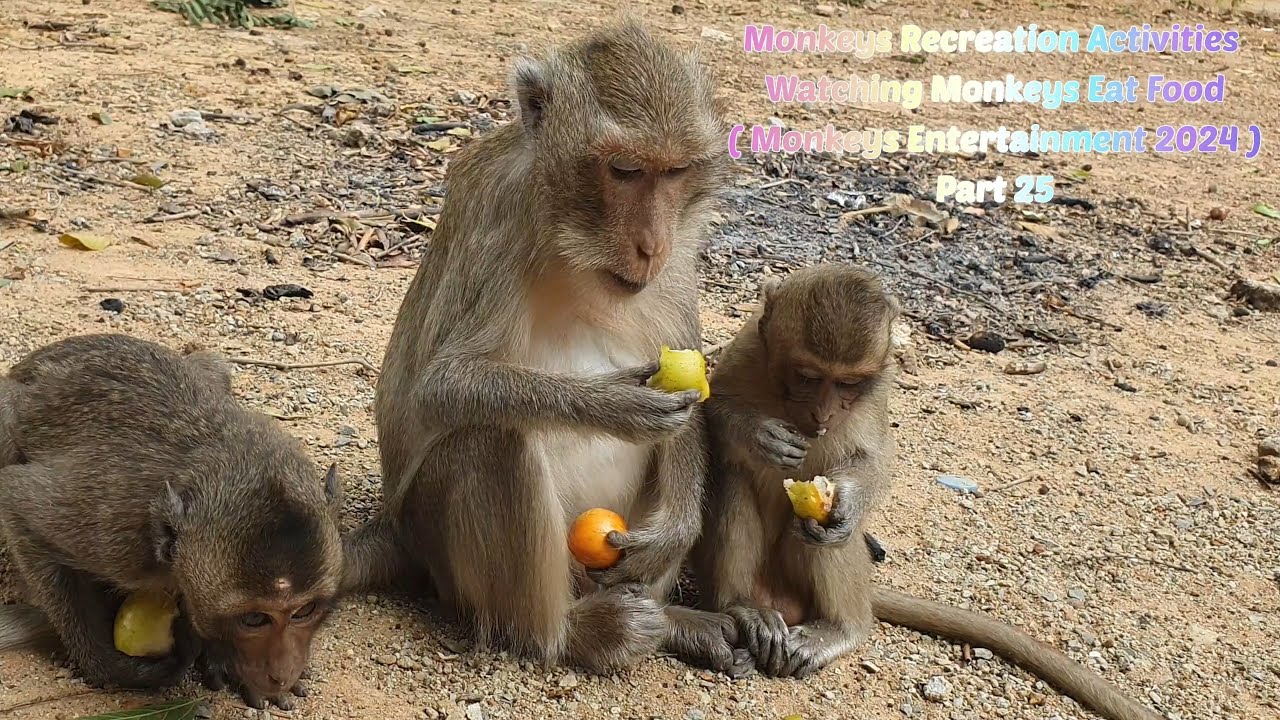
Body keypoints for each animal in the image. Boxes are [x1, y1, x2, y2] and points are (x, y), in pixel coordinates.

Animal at [0, 333, 344, 711]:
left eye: (304, 611)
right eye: (255, 619)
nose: (282, 672)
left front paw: (220, 658)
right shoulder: (111, 533)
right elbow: (16, 499)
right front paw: (111, 664)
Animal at [342, 20, 752, 677]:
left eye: (674, 172)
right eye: (625, 170)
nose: (649, 246)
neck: (573, 243)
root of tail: (398, 534)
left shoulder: (681, 252)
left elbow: (690, 386)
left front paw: (676, 527)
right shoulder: (500, 225)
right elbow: (441, 386)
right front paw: (617, 406)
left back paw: (670, 621)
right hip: (441, 544)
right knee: (493, 440)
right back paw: (574, 636)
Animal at [691, 264, 1164, 720]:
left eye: (848, 384)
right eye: (808, 376)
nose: (823, 414)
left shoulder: (877, 391)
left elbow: (876, 458)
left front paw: (846, 505)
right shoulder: (747, 348)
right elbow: (713, 412)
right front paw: (761, 436)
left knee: (818, 533)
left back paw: (842, 627)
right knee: (735, 481)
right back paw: (743, 608)